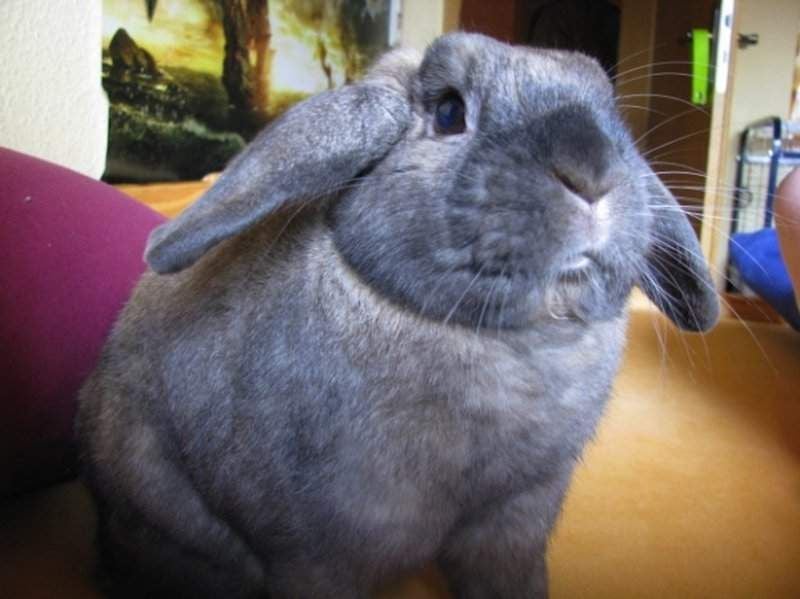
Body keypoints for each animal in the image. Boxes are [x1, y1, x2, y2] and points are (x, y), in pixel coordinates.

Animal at [76, 32, 719, 599]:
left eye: (610, 111)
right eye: (449, 112)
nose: (593, 173)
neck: (501, 342)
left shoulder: (511, 526)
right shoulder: (316, 556)